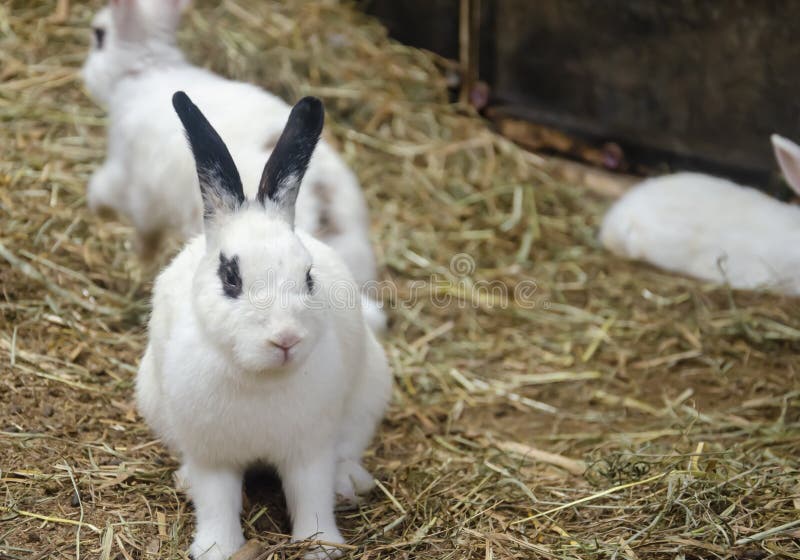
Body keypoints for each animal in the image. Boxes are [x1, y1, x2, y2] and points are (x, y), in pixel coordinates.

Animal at [81, 0, 385, 330]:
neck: (146, 68)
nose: (85, 74)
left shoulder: (133, 185)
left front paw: (118, 237)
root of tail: (326, 208)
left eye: (99, 35)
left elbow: (122, 210)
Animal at [136, 92, 392, 560]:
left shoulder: (310, 449)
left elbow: (311, 499)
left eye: (308, 277)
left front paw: (321, 548)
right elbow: (216, 501)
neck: (259, 379)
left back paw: (349, 484)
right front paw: (217, 549)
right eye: (230, 278)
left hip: (369, 395)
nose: (285, 339)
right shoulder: (212, 454)